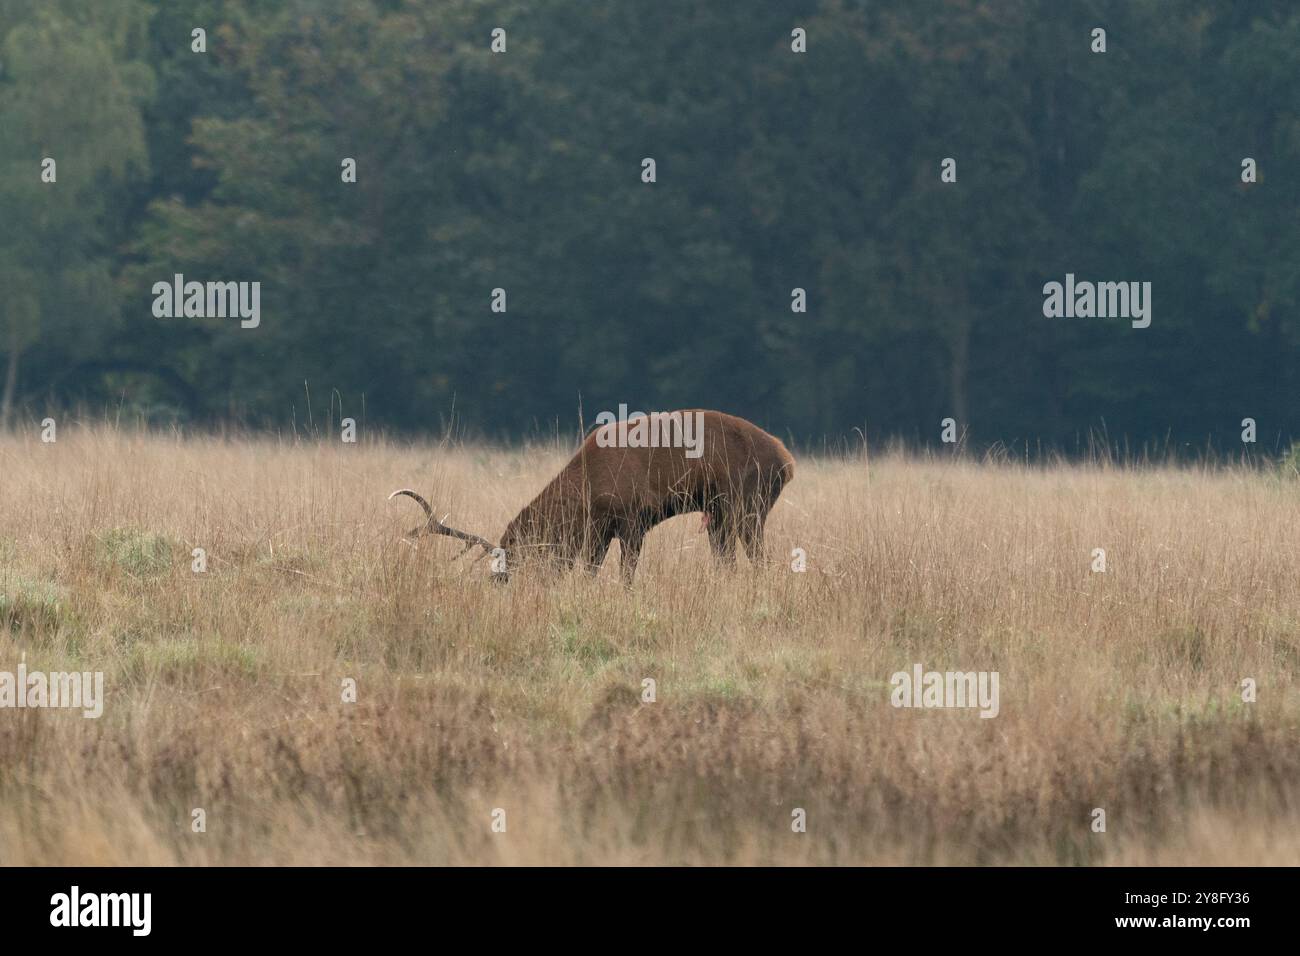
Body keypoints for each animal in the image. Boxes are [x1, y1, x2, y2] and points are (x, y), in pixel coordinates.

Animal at [389, 409, 794, 584]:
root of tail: (787, 461)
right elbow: (589, 572)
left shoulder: (633, 520)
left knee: (759, 558)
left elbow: (626, 574)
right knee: (728, 559)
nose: (501, 585)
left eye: (511, 568)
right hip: (718, 512)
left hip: (747, 501)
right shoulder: (599, 532)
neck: (588, 494)